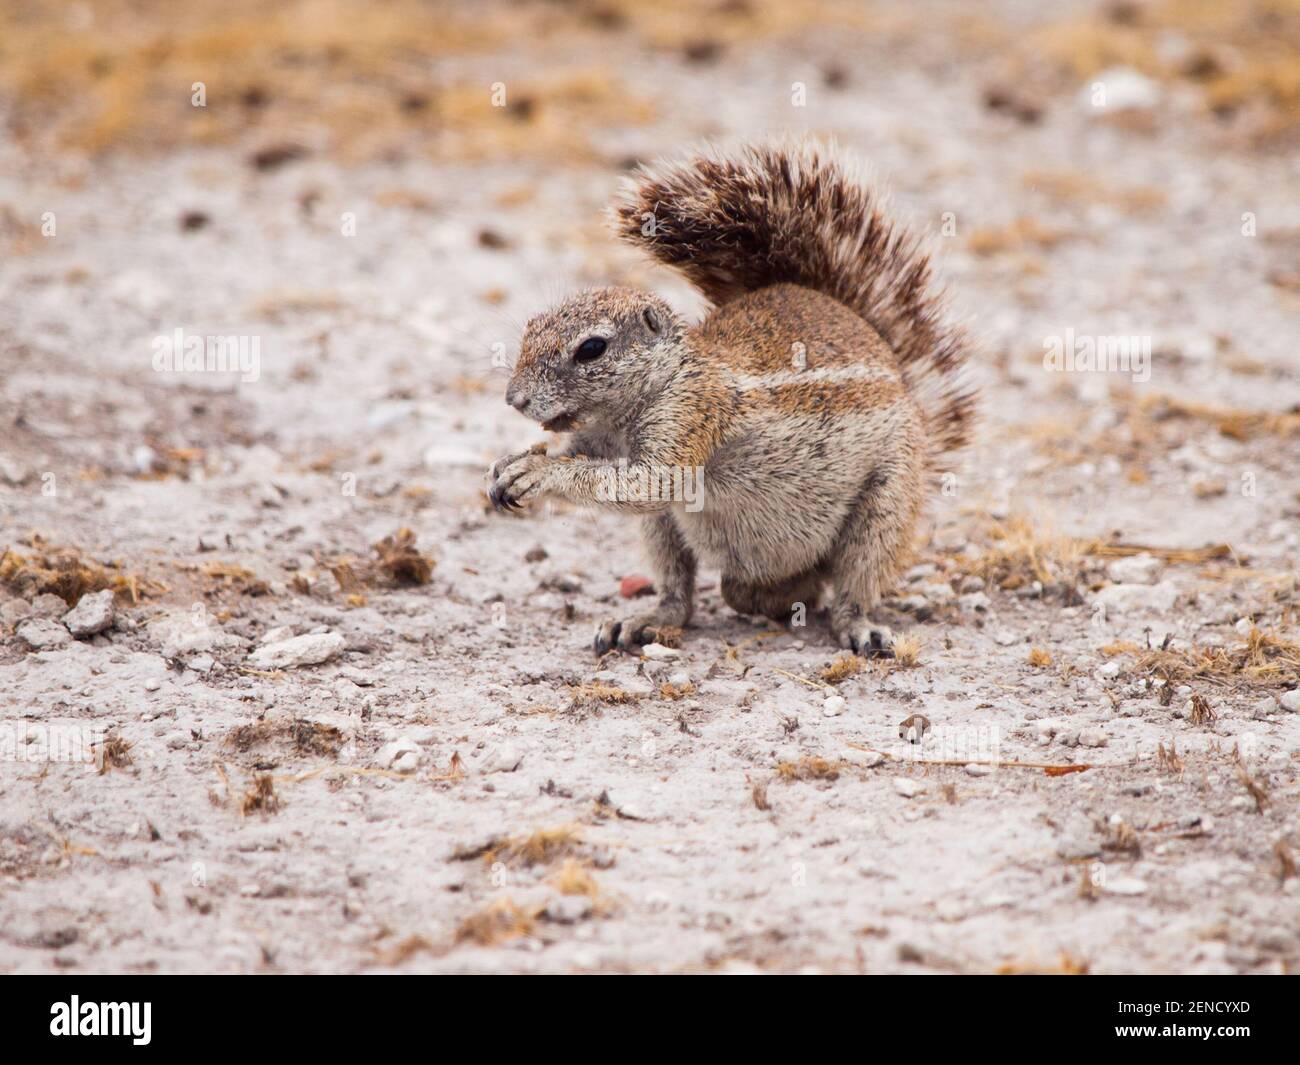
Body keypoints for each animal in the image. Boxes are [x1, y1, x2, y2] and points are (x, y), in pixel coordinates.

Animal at [489, 138, 976, 656]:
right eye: (530, 327)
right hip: (665, 529)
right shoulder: (599, 440)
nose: (514, 399)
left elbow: (643, 483)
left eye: (592, 348)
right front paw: (509, 463)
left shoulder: (690, 416)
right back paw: (651, 619)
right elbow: (584, 458)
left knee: (851, 586)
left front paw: (537, 472)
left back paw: (857, 626)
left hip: (886, 504)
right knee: (686, 593)